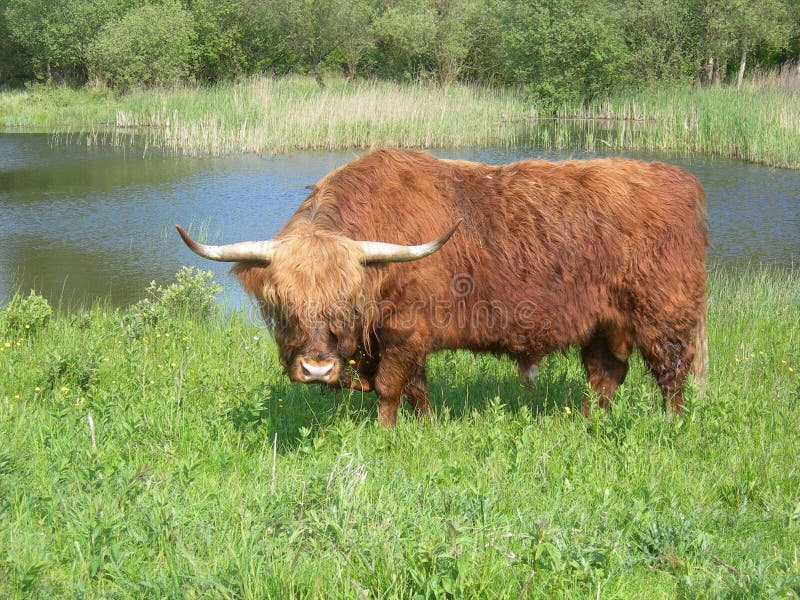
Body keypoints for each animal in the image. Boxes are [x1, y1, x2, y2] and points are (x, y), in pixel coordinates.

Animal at [177, 149, 708, 426]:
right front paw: (427, 425)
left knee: (670, 375)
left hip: (663, 314)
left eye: (345, 303)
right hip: (603, 323)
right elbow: (416, 388)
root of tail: (682, 181)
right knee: (607, 375)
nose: (316, 369)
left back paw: (671, 426)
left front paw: (386, 432)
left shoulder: (405, 331)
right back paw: (581, 421)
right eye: (284, 304)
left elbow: (391, 387)